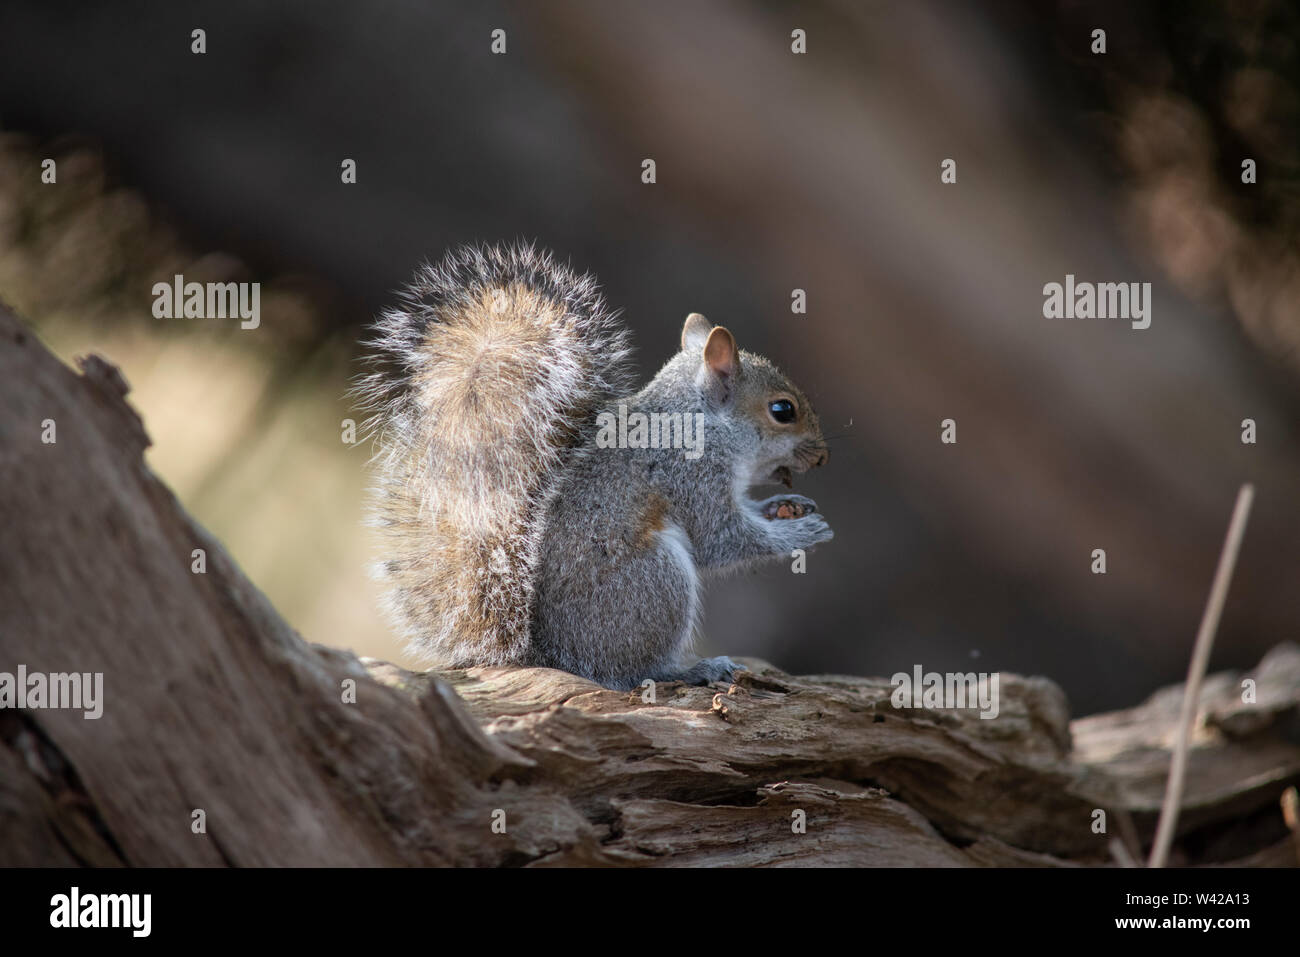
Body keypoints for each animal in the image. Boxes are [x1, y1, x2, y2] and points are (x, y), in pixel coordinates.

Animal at [357, 243, 832, 690]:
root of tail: (551, 655)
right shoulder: (692, 476)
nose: (823, 456)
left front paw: (789, 506)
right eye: (782, 410)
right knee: (634, 673)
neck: (699, 421)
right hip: (655, 582)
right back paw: (690, 669)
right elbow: (723, 539)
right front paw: (803, 533)